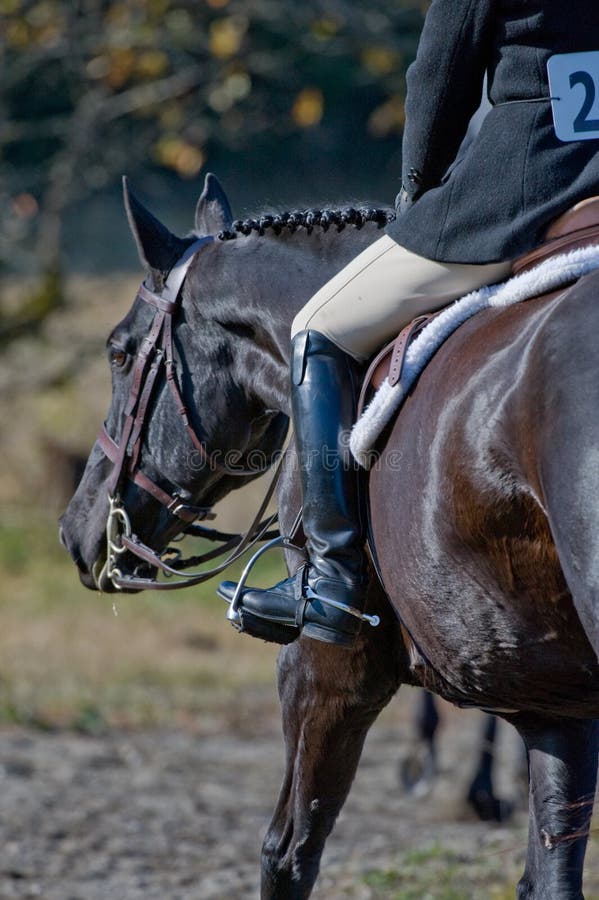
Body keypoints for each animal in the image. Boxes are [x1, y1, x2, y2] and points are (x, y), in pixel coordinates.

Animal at [61, 173, 599, 899]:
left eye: (119, 352)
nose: (78, 530)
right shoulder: (554, 702)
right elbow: (548, 874)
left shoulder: (323, 668)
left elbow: (288, 852)